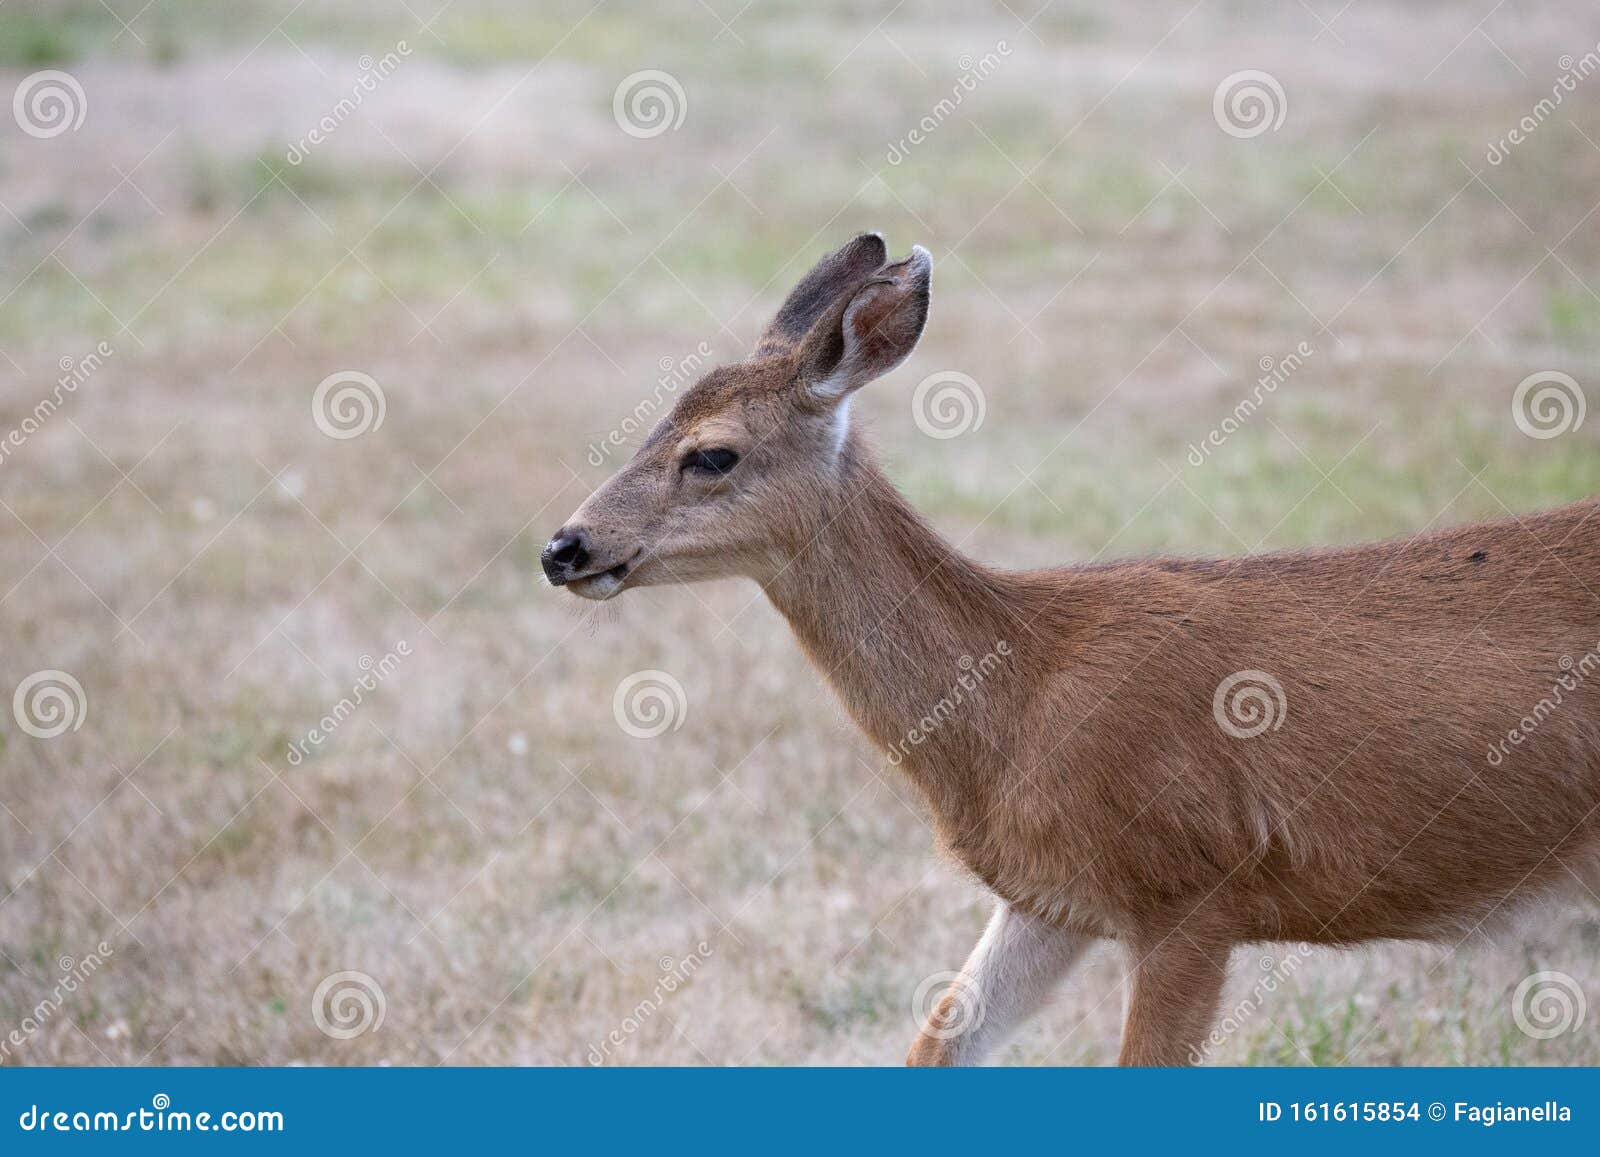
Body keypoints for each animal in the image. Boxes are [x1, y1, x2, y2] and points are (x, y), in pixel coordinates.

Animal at [542, 232, 1600, 1065]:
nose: (564, 546)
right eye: (651, 424)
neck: (1019, 693)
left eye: (712, 452)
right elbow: (937, 1039)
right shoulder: (1049, 896)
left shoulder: (1192, 886)